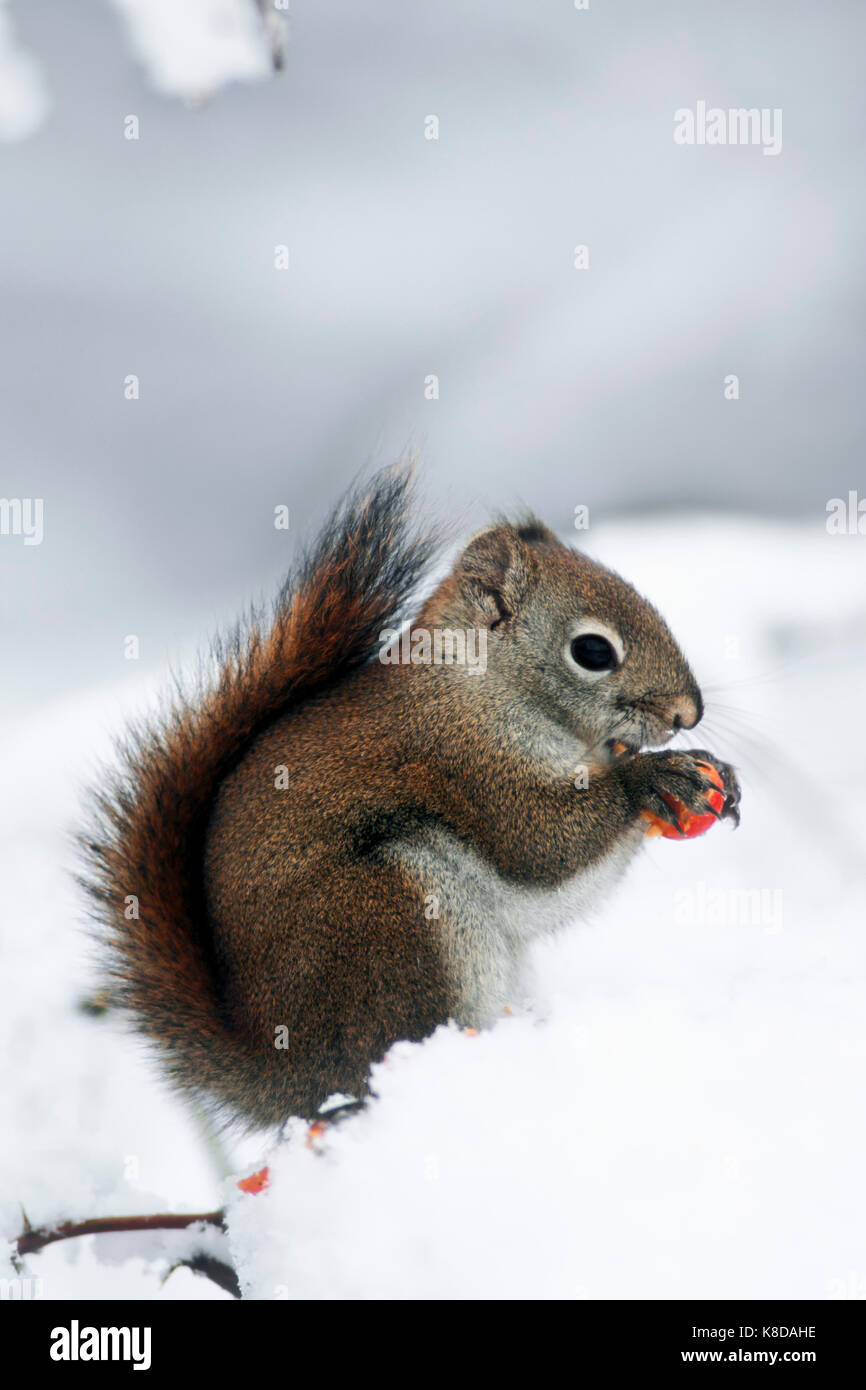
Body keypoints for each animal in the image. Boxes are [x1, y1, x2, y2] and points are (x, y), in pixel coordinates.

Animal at [80, 466, 740, 1131]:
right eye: (593, 651)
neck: (480, 684)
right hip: (386, 918)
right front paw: (655, 778)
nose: (688, 714)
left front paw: (716, 776)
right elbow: (542, 844)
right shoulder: (461, 762)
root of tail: (285, 1076)